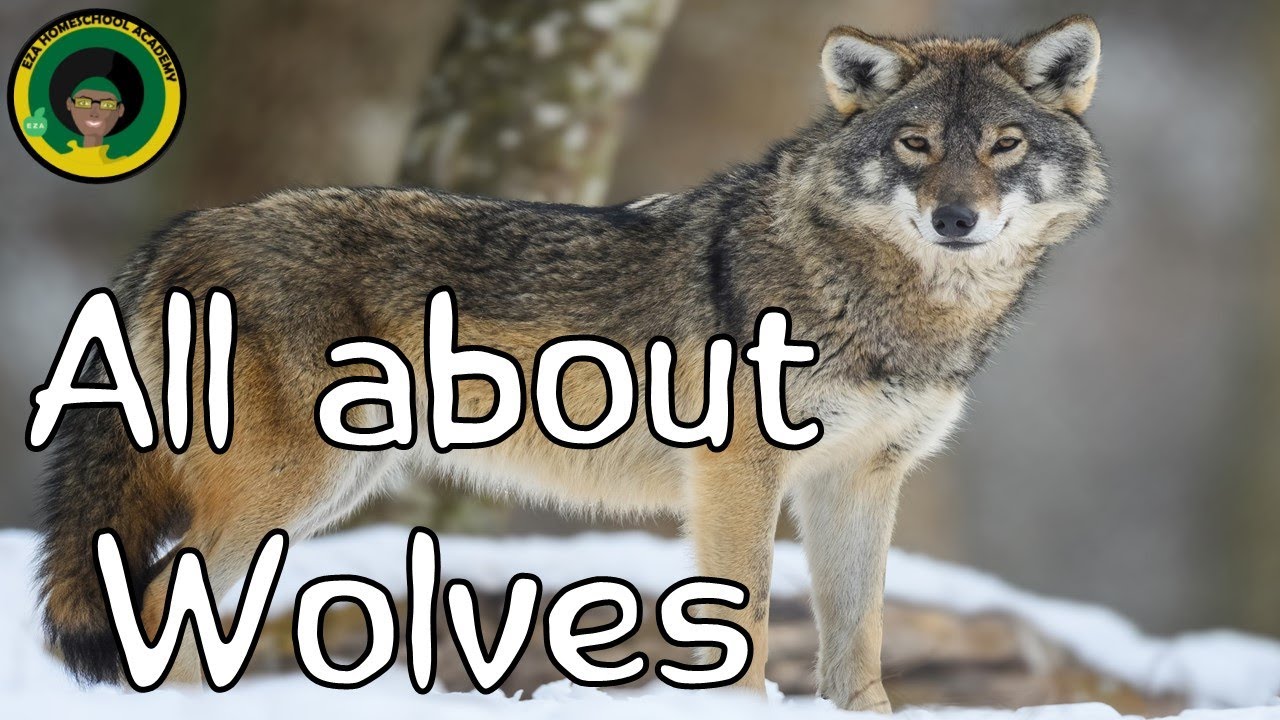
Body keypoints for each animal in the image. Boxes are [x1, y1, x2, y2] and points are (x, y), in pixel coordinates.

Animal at [36, 15, 1106, 711]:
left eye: (1005, 145)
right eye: (916, 144)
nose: (955, 219)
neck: (892, 306)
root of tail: (184, 229)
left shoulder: (861, 480)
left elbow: (860, 642)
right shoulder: (740, 472)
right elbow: (750, 620)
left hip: (328, 492)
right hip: (292, 491)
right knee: (157, 606)